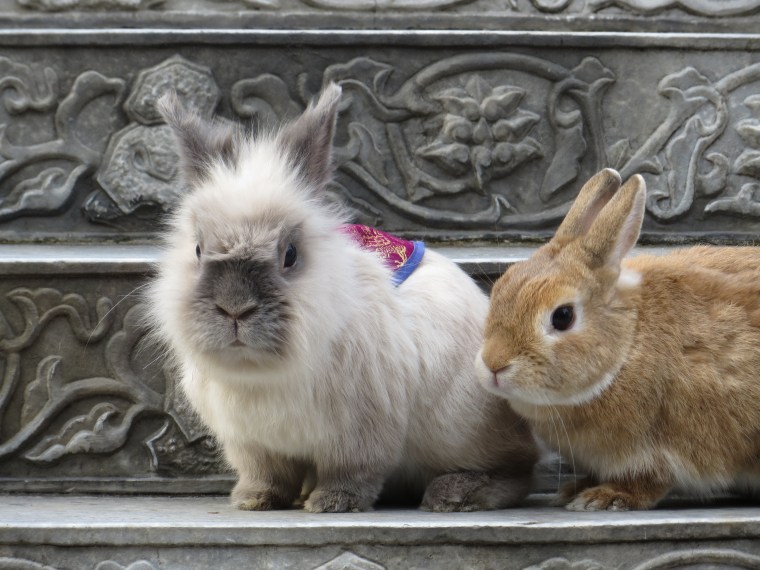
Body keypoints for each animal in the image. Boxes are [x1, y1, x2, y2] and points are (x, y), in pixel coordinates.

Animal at [147, 83, 538, 513]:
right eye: (198, 250)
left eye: (290, 254)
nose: (235, 308)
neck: (261, 371)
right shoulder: (253, 443)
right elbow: (267, 474)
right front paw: (254, 499)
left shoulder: (359, 431)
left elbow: (353, 472)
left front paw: (333, 503)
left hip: (460, 428)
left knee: (518, 469)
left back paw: (452, 494)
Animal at [476, 168, 760, 511]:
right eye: (498, 289)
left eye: (563, 316)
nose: (494, 364)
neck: (627, 346)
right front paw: (575, 489)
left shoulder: (666, 448)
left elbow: (651, 481)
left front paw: (603, 498)